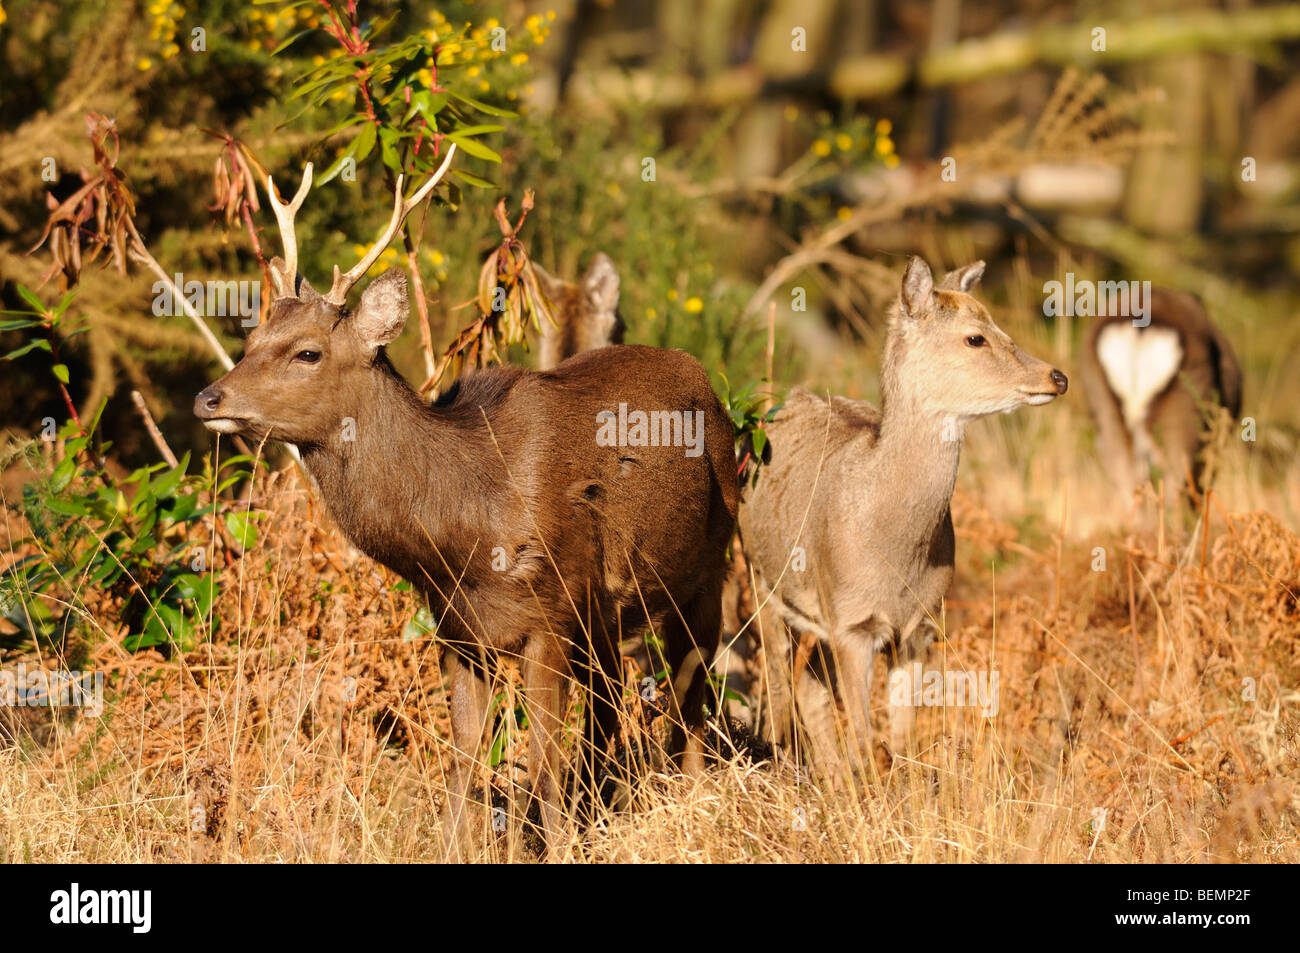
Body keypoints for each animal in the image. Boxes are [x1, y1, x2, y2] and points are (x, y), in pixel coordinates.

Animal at [192, 147, 739, 857]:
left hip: (710, 565)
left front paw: (559, 846)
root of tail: (709, 387)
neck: (463, 533)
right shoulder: (458, 629)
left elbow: (540, 764)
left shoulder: (550, 614)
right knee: (612, 709)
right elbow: (465, 759)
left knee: (689, 702)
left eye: (307, 351)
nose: (208, 398)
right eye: (250, 340)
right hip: (608, 619)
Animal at [738, 256, 1067, 769]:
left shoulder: (919, 624)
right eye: (976, 337)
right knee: (777, 686)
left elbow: (902, 742)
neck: (892, 548)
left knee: (807, 684)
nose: (1057, 376)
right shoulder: (851, 622)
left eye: (1000, 326)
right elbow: (865, 740)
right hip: (760, 576)